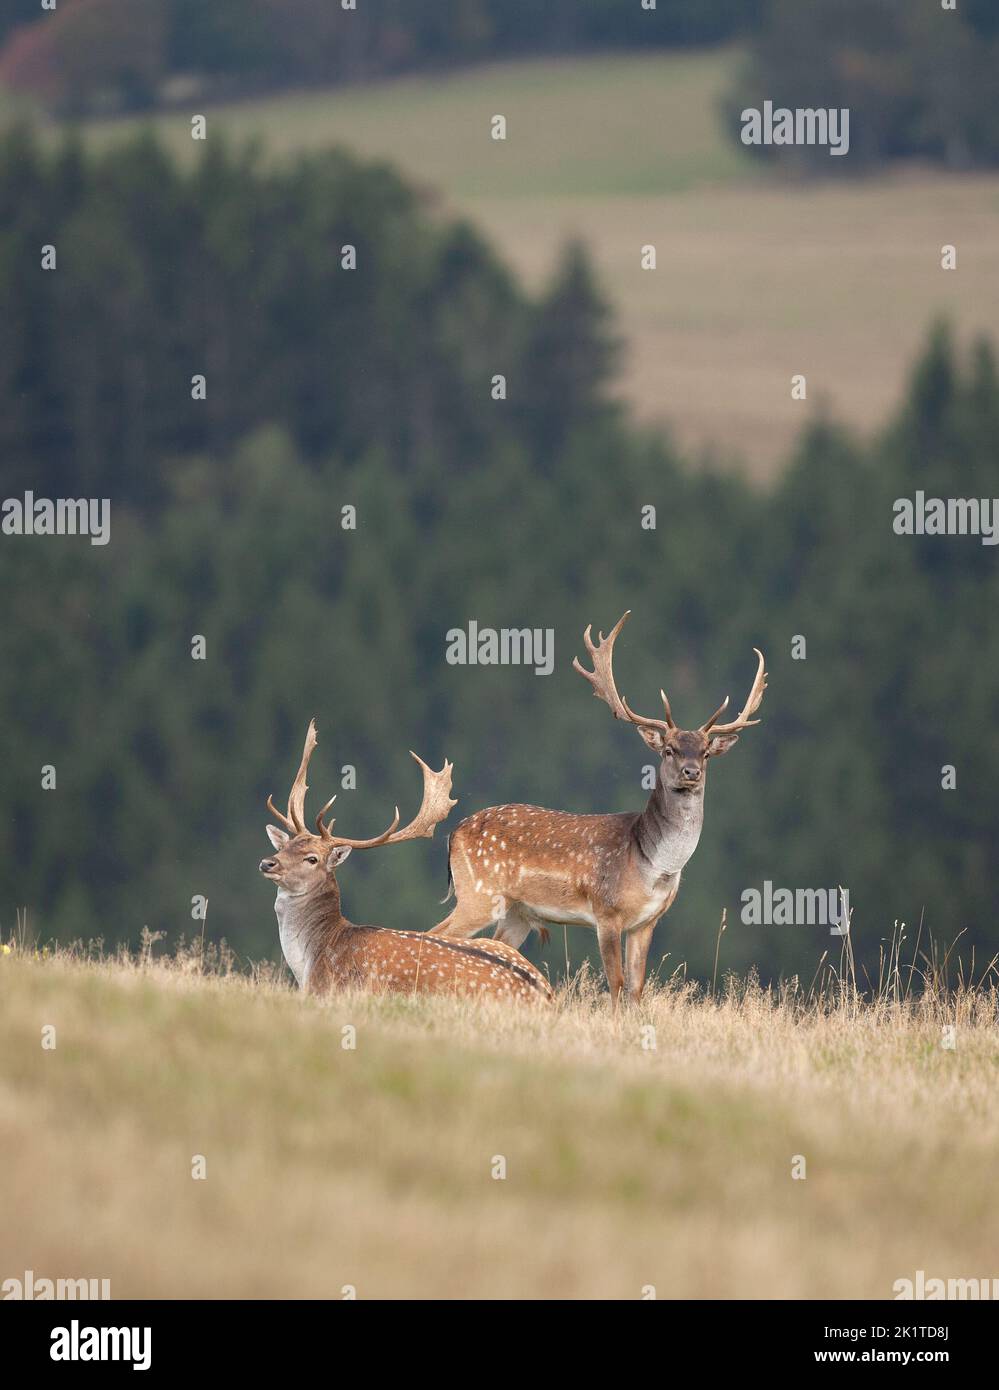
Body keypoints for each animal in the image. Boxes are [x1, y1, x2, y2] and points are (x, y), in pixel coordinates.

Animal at [430, 612, 767, 1004]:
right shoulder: (606, 912)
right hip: (479, 892)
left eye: (706, 753)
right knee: (439, 931)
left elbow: (637, 986)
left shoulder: (647, 921)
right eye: (668, 749)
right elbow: (616, 982)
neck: (653, 866)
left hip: (516, 912)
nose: (691, 772)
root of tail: (453, 833)